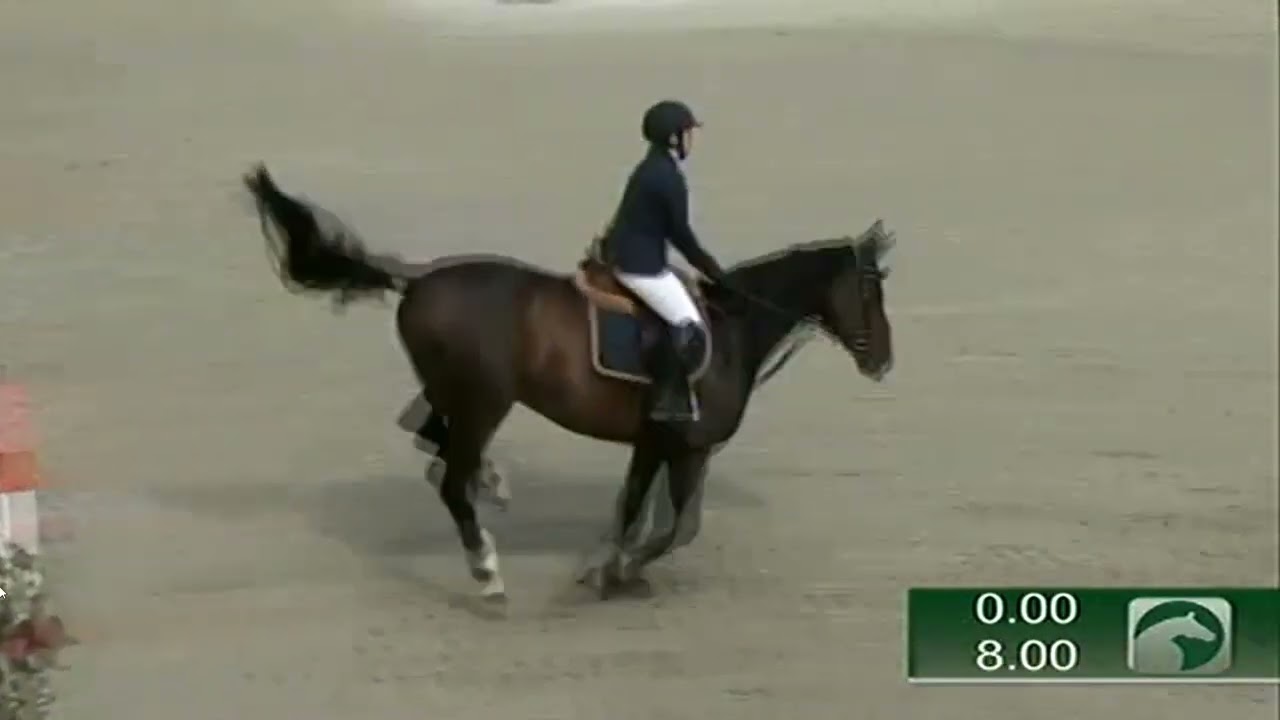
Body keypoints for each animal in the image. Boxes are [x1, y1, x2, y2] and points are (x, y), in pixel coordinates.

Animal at [242, 163, 895, 600]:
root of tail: (418, 279)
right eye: (871, 289)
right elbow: (671, 525)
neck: (733, 325)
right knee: (450, 481)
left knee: (430, 436)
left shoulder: (663, 444)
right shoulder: (679, 445)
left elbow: (646, 513)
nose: (884, 360)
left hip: (458, 393)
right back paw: (487, 572)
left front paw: (613, 563)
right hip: (486, 401)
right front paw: (612, 570)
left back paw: (489, 480)